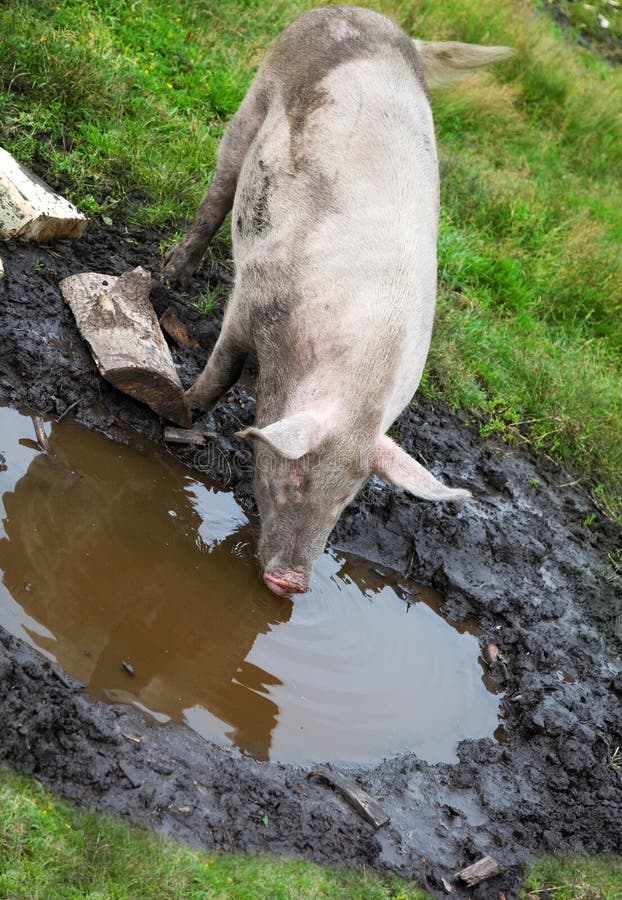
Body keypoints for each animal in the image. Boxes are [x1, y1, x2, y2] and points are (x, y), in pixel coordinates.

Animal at [162, 6, 512, 596]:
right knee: (219, 191)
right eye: (296, 473)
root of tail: (378, 20)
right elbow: (223, 370)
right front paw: (186, 407)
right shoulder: (253, 295)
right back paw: (171, 274)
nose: (291, 582)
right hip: (257, 95)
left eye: (349, 497)